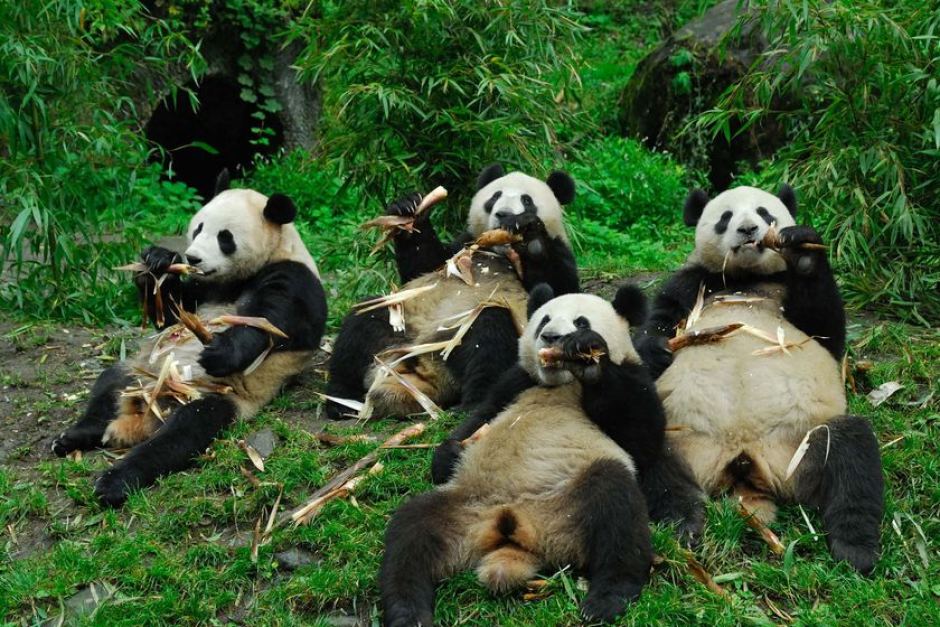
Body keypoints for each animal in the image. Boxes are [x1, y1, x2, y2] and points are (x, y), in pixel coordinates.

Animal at [51, 171, 328, 506]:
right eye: (198, 227)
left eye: (225, 237)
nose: (193, 258)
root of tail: (147, 412)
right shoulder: (203, 288)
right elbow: (170, 313)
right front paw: (156, 262)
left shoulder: (294, 278)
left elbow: (269, 323)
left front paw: (219, 353)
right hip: (142, 372)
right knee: (111, 383)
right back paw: (74, 436)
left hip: (212, 395)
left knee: (182, 433)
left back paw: (114, 482)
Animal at [325, 163, 580, 420]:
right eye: (494, 197)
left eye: (527, 201)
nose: (504, 214)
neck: (497, 251)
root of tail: (428, 368)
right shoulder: (461, 247)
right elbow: (424, 266)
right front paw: (408, 209)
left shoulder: (560, 252)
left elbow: (557, 291)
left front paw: (529, 233)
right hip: (403, 323)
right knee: (361, 325)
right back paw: (341, 400)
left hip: (457, 339)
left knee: (490, 334)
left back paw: (472, 403)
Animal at [380, 284, 669, 626]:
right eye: (544, 319)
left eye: (581, 322)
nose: (551, 337)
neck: (561, 383)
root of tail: (515, 525)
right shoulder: (515, 382)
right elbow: (483, 415)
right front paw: (450, 454)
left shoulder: (635, 376)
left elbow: (642, 439)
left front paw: (589, 357)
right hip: (465, 507)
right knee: (410, 533)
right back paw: (407, 612)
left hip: (571, 499)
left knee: (617, 509)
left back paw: (607, 600)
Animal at [634, 184, 884, 574]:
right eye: (725, 217)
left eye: (765, 213)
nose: (749, 229)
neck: (745, 280)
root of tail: (743, 461)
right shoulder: (694, 282)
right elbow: (658, 322)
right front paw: (659, 349)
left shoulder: (785, 288)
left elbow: (826, 330)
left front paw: (804, 254)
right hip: (686, 439)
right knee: (651, 453)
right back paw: (684, 522)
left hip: (799, 449)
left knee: (852, 453)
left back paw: (854, 549)